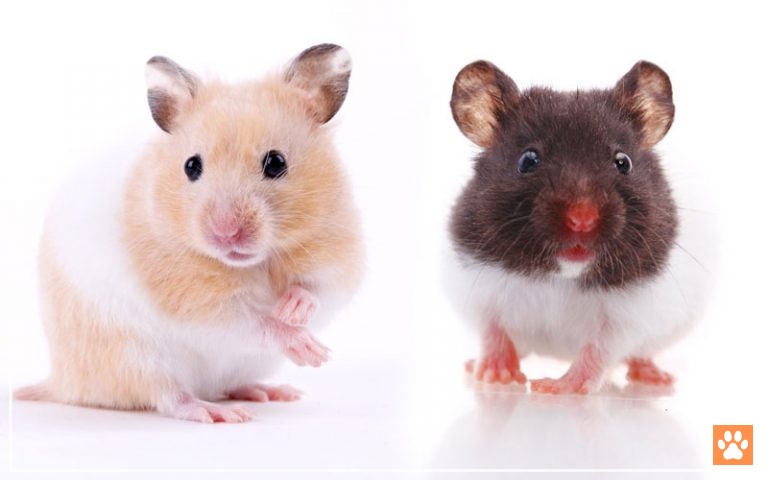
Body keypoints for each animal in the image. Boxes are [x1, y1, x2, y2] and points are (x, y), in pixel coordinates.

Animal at [14, 44, 363, 422]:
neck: (251, 264)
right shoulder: (197, 305)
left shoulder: (336, 257)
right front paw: (309, 350)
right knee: (171, 398)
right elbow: (251, 324)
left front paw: (294, 310)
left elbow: (317, 289)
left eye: (276, 163)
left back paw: (271, 392)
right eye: (191, 166)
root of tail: (61, 381)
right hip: (136, 359)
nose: (226, 233)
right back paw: (221, 412)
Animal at [446, 60, 707, 394]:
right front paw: (496, 377)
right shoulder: (474, 282)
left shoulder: (630, 314)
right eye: (528, 160)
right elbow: (493, 329)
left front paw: (554, 388)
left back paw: (655, 378)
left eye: (623, 162)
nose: (582, 219)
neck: (562, 276)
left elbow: (599, 349)